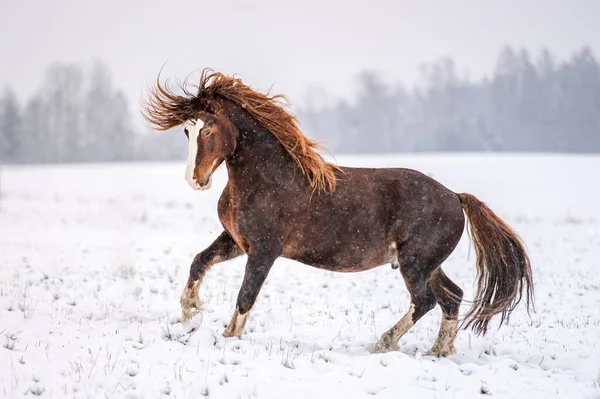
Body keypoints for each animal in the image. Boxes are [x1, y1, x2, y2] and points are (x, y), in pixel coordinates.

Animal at [142, 70, 536, 358]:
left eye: (208, 128)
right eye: (186, 130)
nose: (196, 180)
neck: (267, 178)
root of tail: (455, 197)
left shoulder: (265, 251)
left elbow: (246, 295)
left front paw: (228, 337)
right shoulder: (237, 242)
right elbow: (199, 261)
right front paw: (189, 313)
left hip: (415, 263)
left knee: (424, 301)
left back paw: (384, 343)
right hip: (428, 263)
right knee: (451, 297)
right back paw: (437, 352)